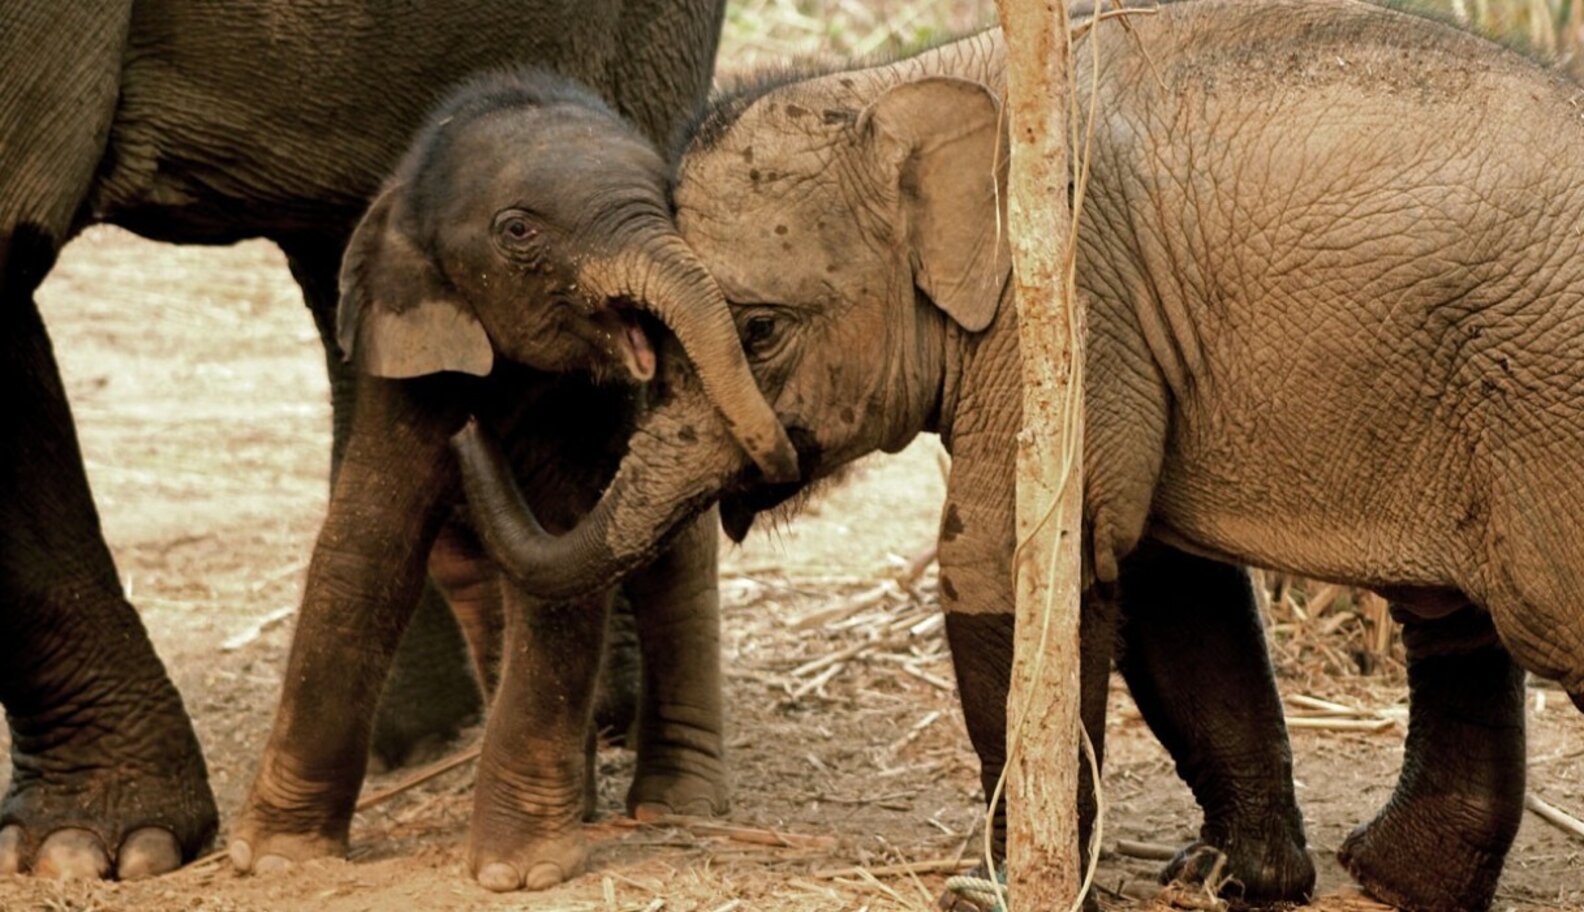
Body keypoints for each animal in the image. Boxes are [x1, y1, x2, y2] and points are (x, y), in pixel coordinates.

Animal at [226, 68, 797, 893]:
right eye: (519, 232)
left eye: (668, 200)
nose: (471, 438)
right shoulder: (410, 377)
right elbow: (364, 551)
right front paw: (275, 857)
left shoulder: (589, 406)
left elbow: (558, 567)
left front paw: (513, 873)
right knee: (478, 586)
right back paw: (584, 802)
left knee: (676, 577)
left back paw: (675, 807)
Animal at [448, 1, 1584, 909]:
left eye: (761, 331)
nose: (462, 416)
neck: (917, 85)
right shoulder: (1124, 337)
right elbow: (1165, 588)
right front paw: (1230, 880)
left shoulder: (1071, 304)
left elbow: (1004, 565)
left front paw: (996, 887)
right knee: (1456, 617)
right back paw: (1396, 884)